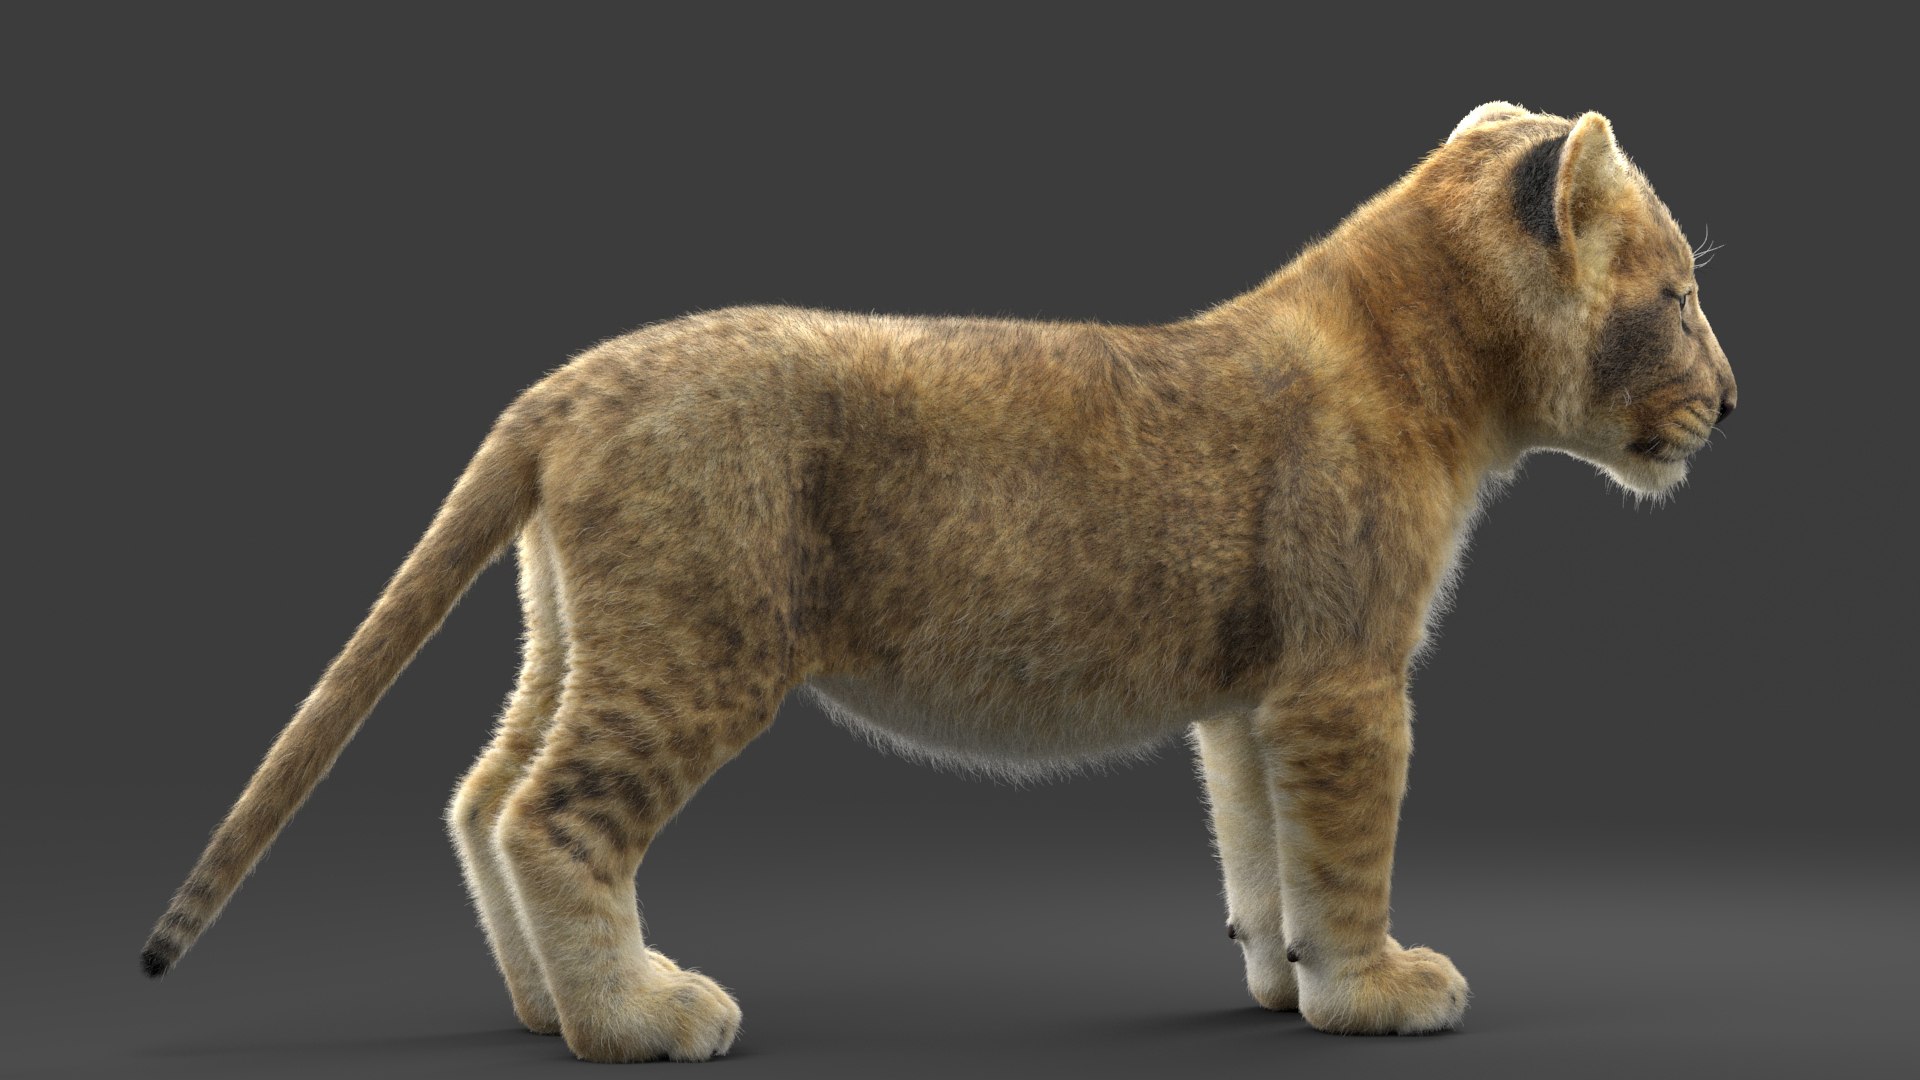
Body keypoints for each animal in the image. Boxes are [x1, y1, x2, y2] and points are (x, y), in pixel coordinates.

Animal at [140, 101, 1736, 1061]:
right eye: (1676, 298)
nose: (1734, 402)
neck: (1436, 367)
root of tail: (569, 382)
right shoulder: (1345, 678)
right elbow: (1346, 849)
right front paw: (1377, 988)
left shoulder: (1253, 695)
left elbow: (1258, 845)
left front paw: (1285, 982)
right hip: (696, 639)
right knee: (551, 810)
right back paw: (639, 1017)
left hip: (583, 628)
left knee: (483, 792)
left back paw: (543, 1008)